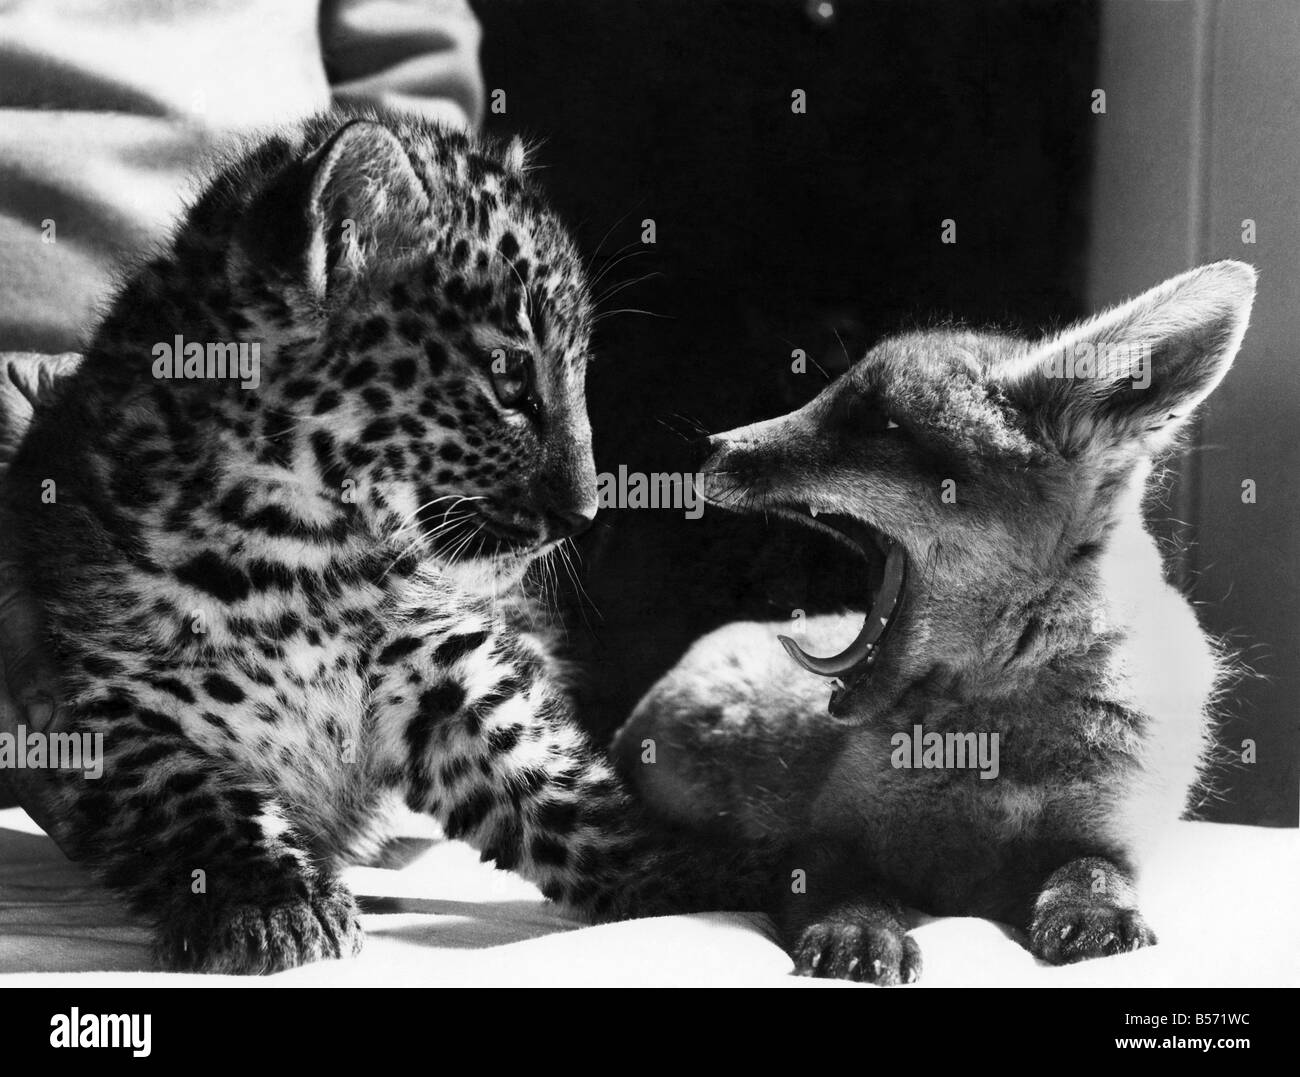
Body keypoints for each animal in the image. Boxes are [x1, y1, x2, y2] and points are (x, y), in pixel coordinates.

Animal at [612, 261, 1257, 983]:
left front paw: (1095, 914)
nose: (706, 444)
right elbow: (852, 888)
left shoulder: (1113, 832)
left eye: (881, 424)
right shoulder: (825, 838)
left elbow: (1092, 870)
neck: (990, 740)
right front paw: (861, 931)